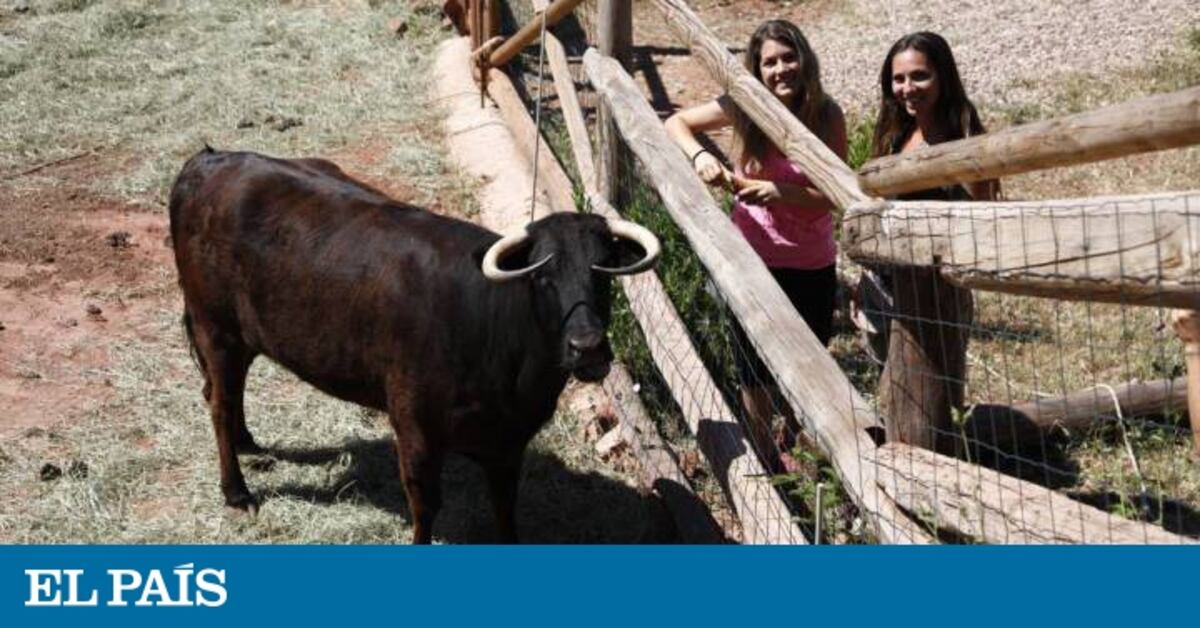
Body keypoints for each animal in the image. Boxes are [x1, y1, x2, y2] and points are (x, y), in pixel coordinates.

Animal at [168, 147, 659, 543]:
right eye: (542, 276)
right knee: (218, 402)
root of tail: (210, 160)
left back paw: (247, 442)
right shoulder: (415, 427)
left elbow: (505, 506)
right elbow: (426, 505)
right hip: (216, 328)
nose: (587, 347)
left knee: (228, 394)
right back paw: (237, 491)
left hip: (241, 337)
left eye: (605, 269)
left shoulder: (508, 444)